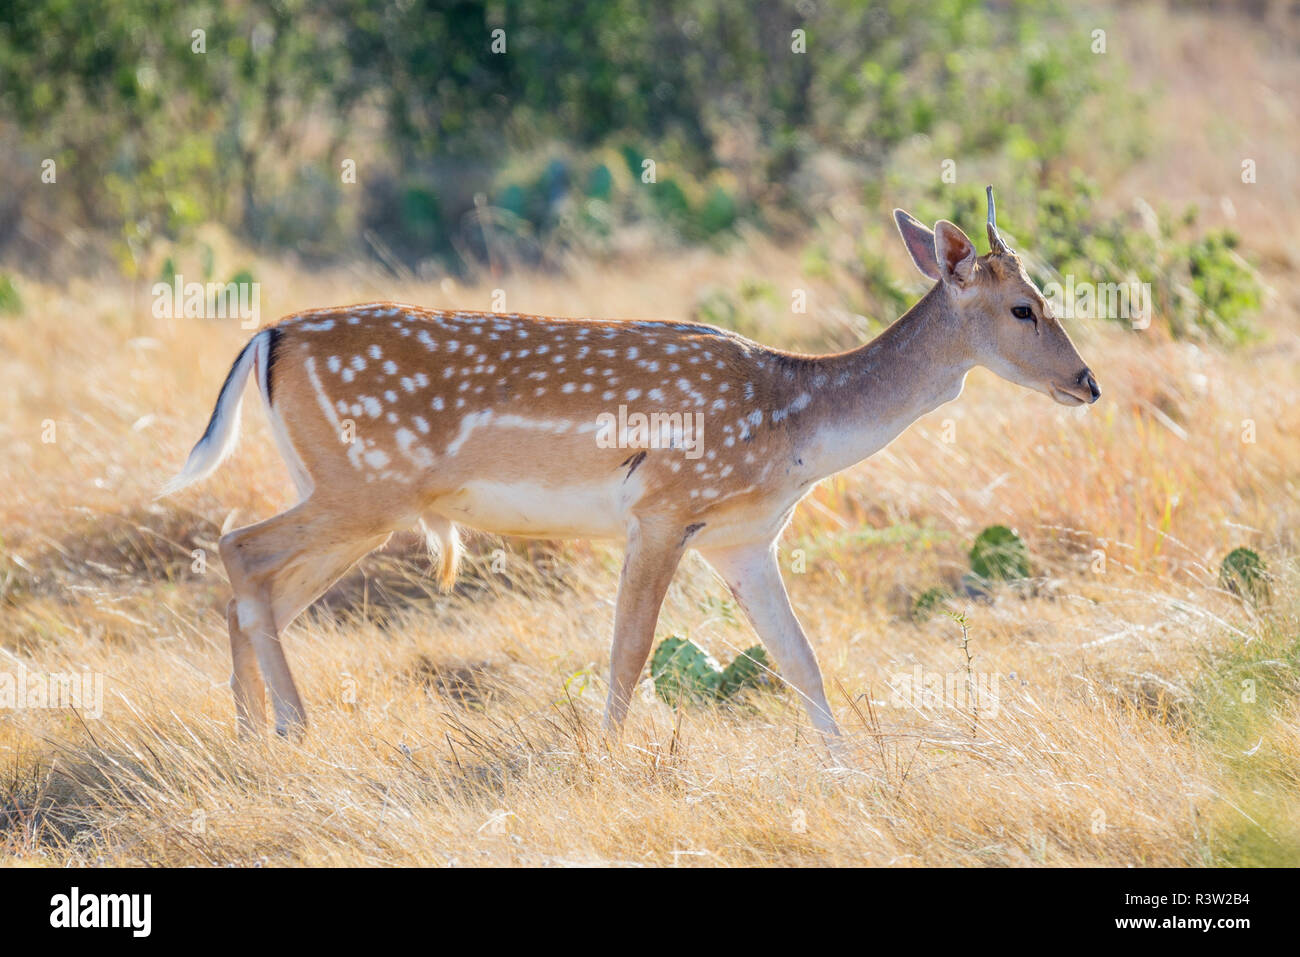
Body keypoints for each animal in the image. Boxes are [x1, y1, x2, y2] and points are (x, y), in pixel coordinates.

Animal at [161, 187, 1099, 751]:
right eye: (1025, 306)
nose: (1087, 381)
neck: (796, 422)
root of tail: (265, 335)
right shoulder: (662, 505)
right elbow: (631, 652)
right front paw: (607, 758)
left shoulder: (744, 537)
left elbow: (798, 656)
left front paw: (845, 767)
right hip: (363, 487)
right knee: (241, 549)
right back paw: (291, 727)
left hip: (351, 495)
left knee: (261, 584)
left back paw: (253, 731)